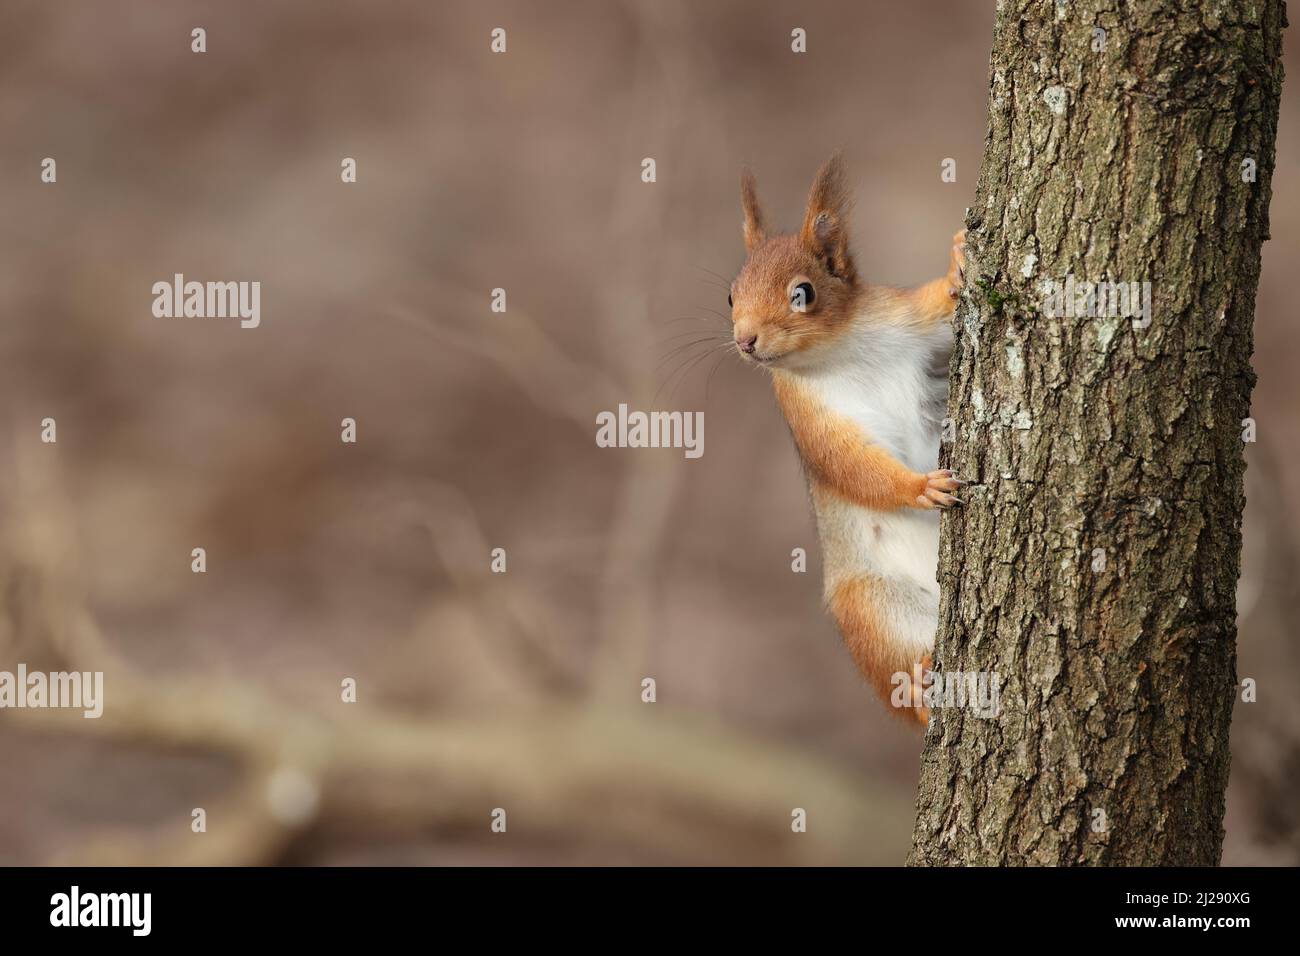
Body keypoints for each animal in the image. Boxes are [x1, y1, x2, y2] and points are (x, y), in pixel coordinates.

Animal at [728, 151, 966, 727]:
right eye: (729, 295)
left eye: (803, 293)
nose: (745, 340)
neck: (841, 350)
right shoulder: (809, 416)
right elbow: (849, 462)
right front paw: (919, 488)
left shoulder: (905, 317)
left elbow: (940, 305)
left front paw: (958, 262)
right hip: (874, 607)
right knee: (902, 682)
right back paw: (919, 689)